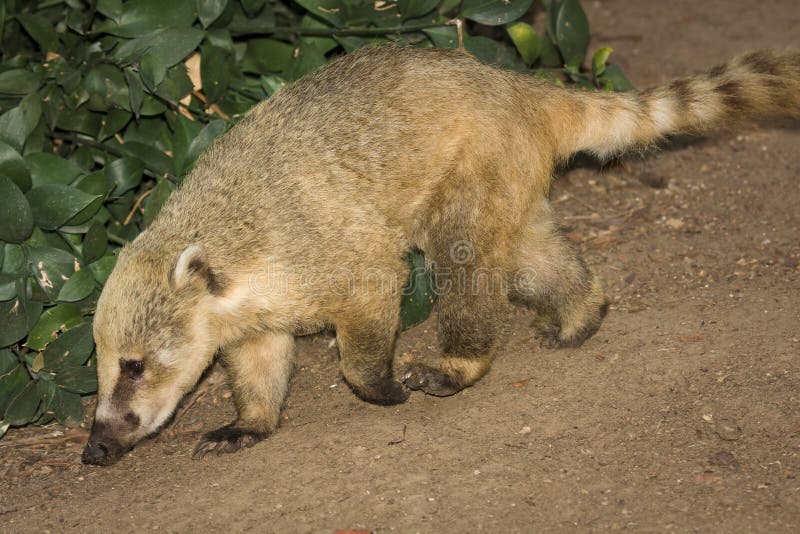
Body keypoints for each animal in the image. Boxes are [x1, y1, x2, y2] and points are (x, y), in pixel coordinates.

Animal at [82, 45, 800, 465]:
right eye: (103, 366)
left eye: (134, 365)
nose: (96, 447)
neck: (220, 233)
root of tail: (523, 89)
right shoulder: (251, 310)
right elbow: (259, 359)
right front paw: (251, 421)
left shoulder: (318, 248)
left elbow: (376, 291)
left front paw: (377, 382)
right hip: (508, 177)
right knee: (528, 253)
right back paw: (582, 308)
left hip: (475, 166)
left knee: (467, 264)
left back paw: (460, 362)